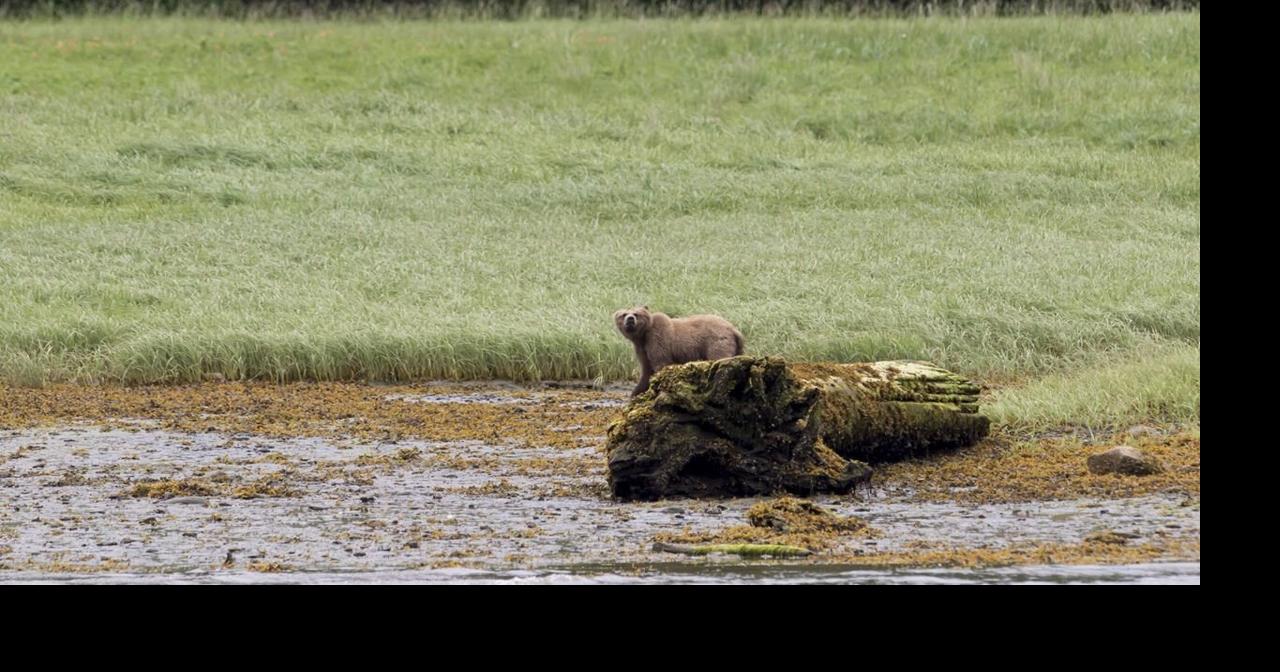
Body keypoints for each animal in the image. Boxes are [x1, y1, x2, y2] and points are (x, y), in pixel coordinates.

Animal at [613, 305, 745, 397]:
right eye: (623, 314)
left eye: (636, 313)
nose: (630, 319)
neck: (642, 336)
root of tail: (734, 329)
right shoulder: (642, 349)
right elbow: (646, 371)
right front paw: (636, 393)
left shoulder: (657, 339)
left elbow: (661, 364)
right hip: (737, 347)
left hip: (716, 342)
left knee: (720, 359)